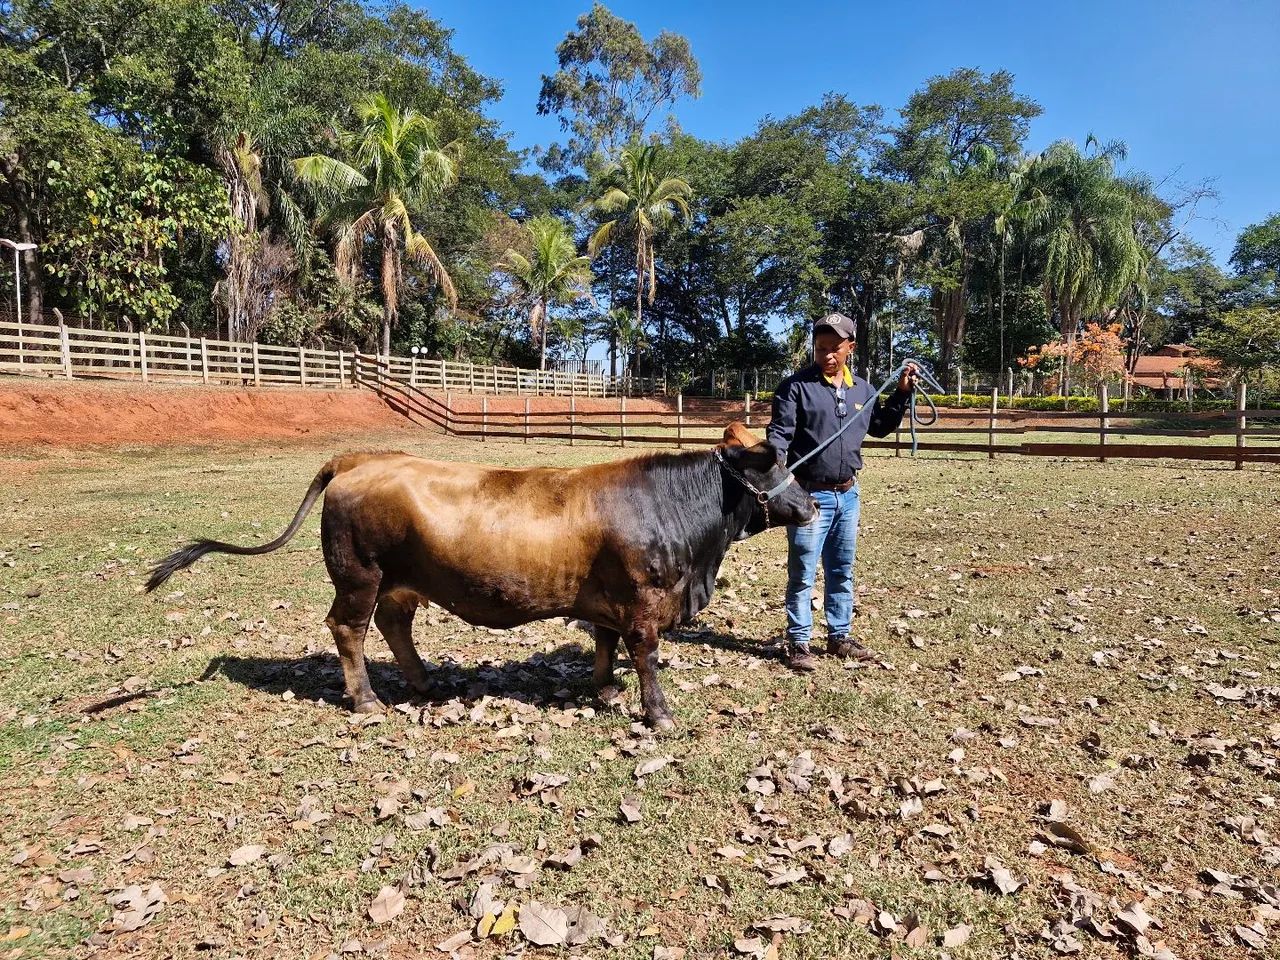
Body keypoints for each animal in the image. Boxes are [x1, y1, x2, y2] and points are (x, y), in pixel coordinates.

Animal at [145, 423, 816, 730]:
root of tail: (362, 459)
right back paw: (366, 699)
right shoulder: (643, 600)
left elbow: (605, 643)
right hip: (358, 574)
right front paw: (658, 713)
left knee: (394, 626)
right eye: (774, 466)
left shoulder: (610, 601)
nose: (811, 507)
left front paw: (603, 690)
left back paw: (423, 683)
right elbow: (645, 654)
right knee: (348, 628)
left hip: (400, 582)